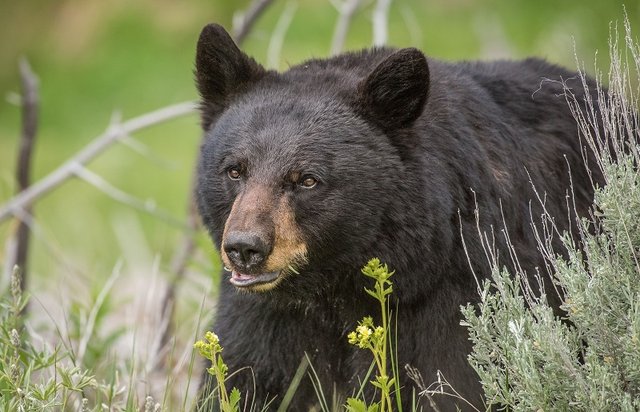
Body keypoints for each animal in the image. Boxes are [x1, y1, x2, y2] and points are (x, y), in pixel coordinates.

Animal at [193, 23, 602, 411]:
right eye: (234, 170)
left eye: (307, 179)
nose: (245, 248)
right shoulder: (265, 318)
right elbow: (244, 379)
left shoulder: (462, 293)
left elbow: (457, 383)